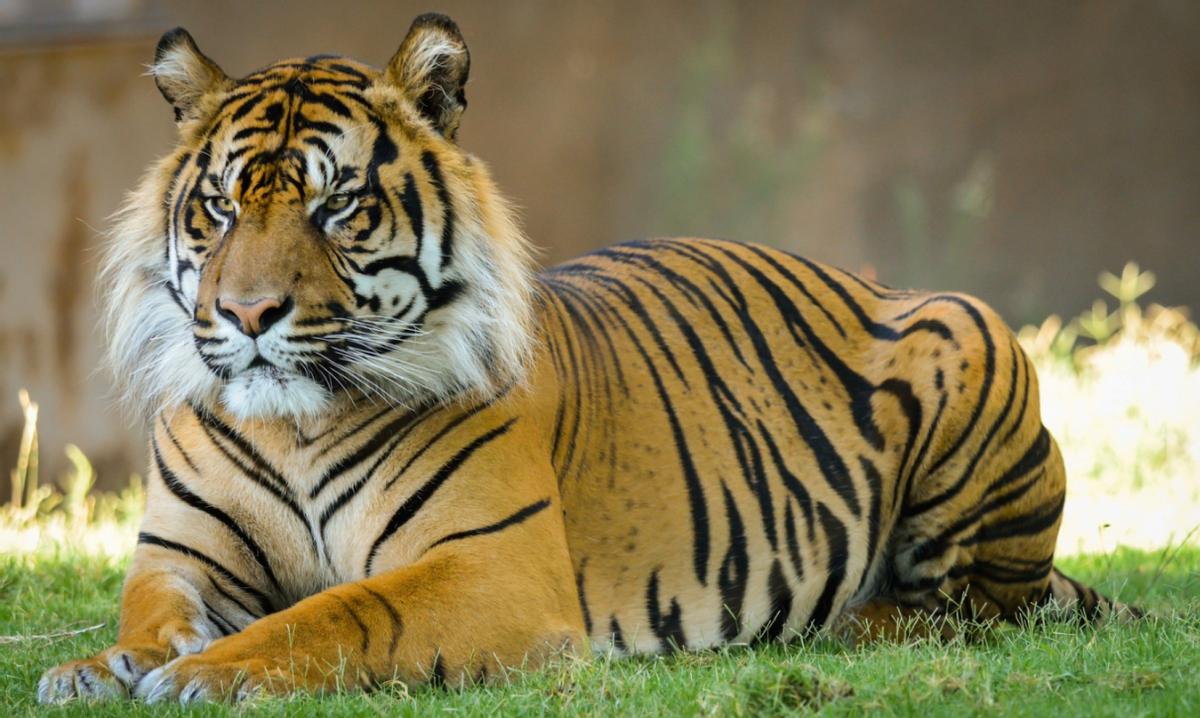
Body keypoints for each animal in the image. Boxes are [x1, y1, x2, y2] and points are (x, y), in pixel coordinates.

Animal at [39, 13, 1137, 705]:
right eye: (219, 206)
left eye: (338, 204)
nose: (248, 311)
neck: (297, 422)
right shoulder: (179, 554)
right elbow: (148, 613)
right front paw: (98, 667)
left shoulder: (488, 567)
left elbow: (339, 613)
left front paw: (205, 672)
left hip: (970, 336)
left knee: (968, 608)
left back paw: (835, 623)